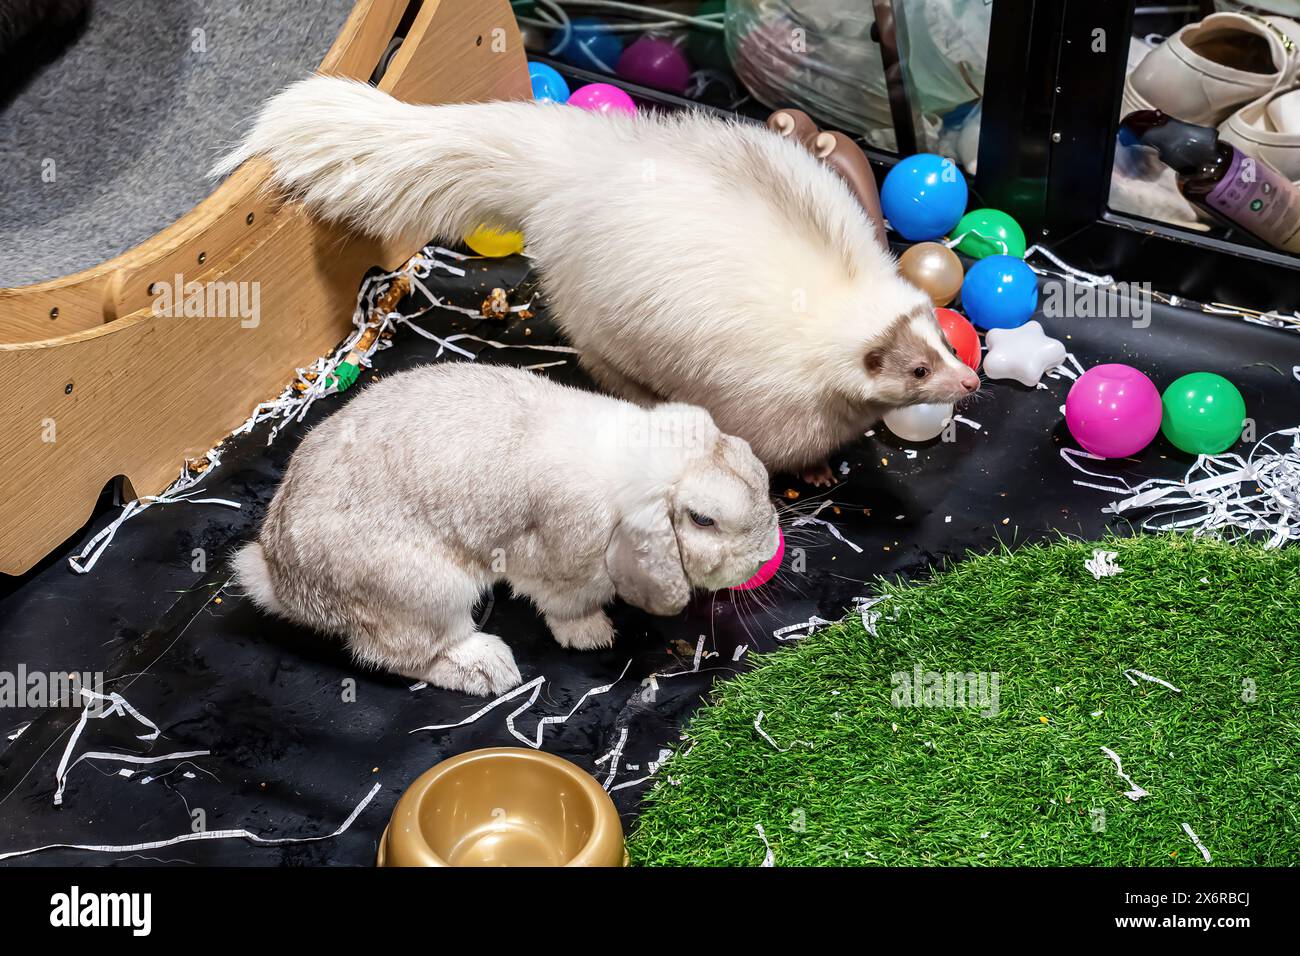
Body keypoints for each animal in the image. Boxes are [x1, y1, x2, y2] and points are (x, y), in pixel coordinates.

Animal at [214, 75, 980, 486]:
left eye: (944, 344)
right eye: (916, 370)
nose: (970, 382)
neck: (840, 298)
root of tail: (576, 165)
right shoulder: (773, 395)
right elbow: (775, 439)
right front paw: (812, 471)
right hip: (598, 305)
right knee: (604, 358)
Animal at [232, 363, 779, 697]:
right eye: (703, 519)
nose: (766, 553)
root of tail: (283, 582)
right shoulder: (560, 560)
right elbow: (566, 607)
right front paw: (592, 636)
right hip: (424, 594)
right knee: (396, 655)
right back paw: (490, 670)